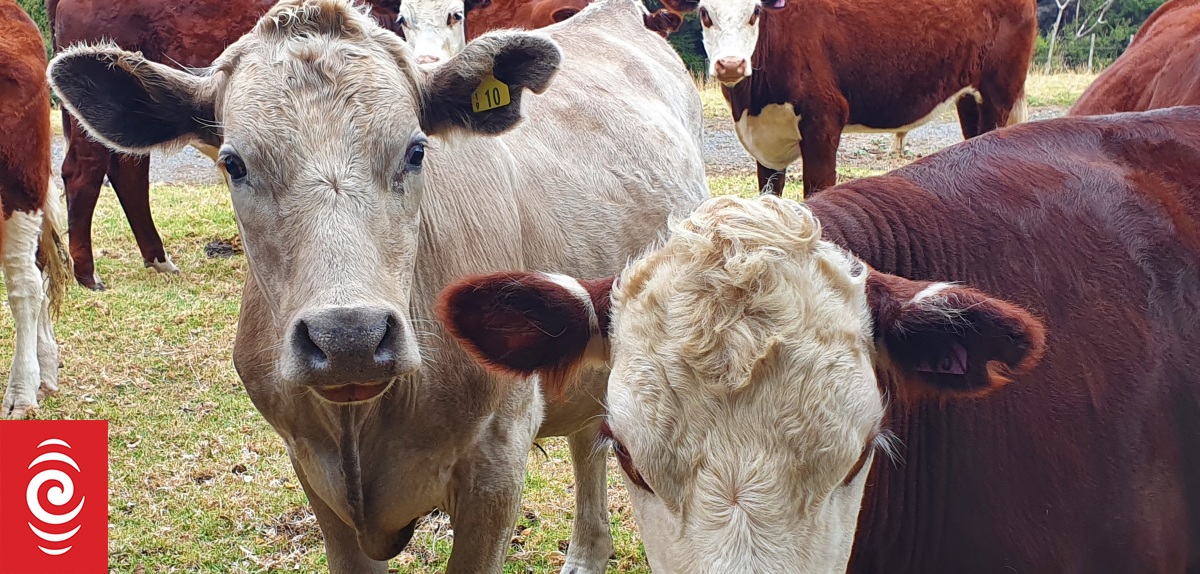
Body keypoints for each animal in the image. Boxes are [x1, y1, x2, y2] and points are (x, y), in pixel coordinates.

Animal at [658, 0, 1036, 196]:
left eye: (755, 12)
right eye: (705, 14)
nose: (731, 64)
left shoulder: (823, 121)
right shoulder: (766, 142)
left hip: (1000, 89)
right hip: (969, 97)